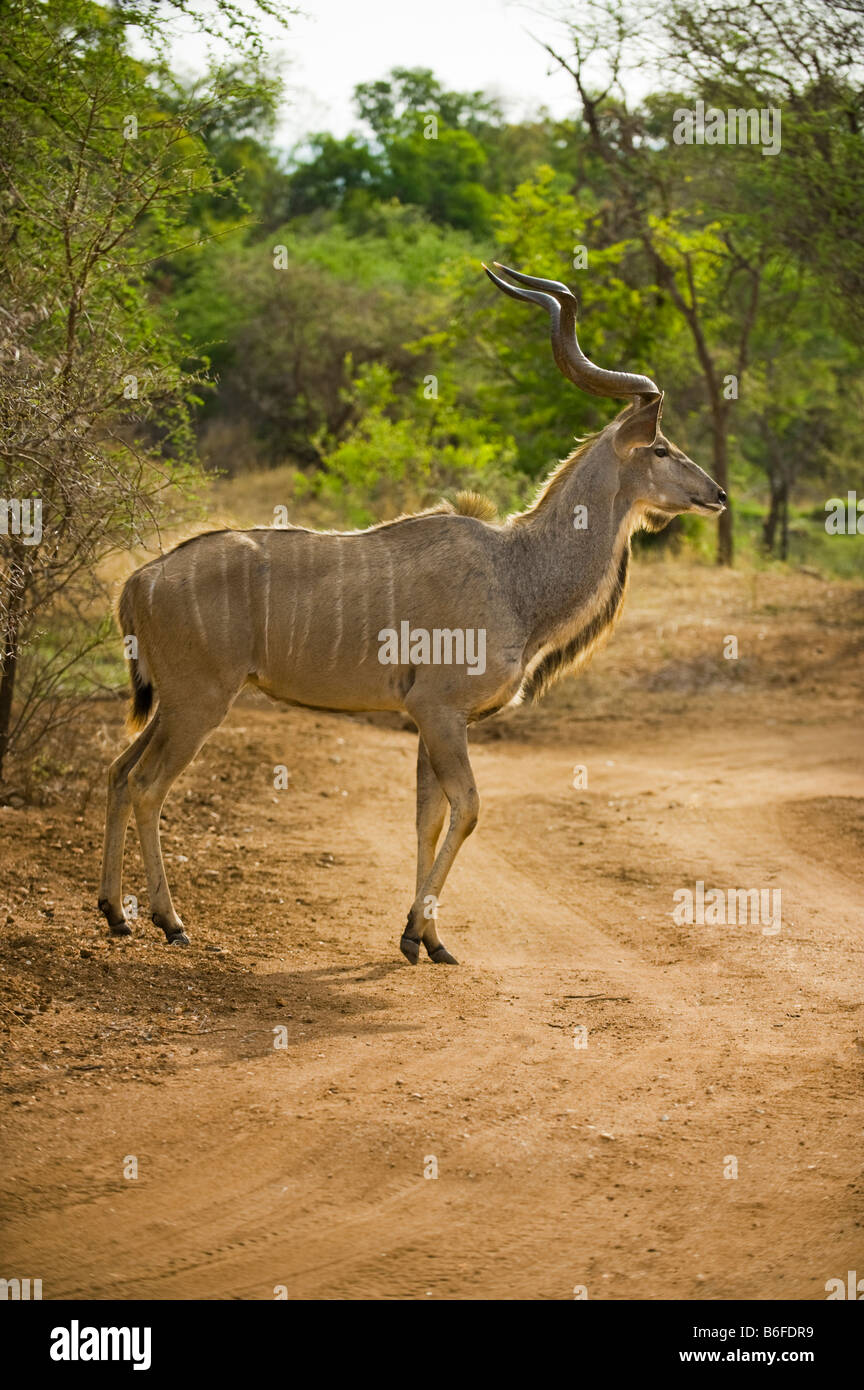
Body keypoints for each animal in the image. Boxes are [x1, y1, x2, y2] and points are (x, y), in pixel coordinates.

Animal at [98, 264, 726, 964]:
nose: (718, 495)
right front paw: (415, 935)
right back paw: (169, 920)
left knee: (118, 773)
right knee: (148, 784)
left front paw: (428, 938)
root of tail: (140, 581)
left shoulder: (428, 720)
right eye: (662, 449)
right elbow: (469, 809)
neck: (515, 572)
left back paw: (115, 913)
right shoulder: (441, 711)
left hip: (172, 704)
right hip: (199, 703)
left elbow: (429, 816)